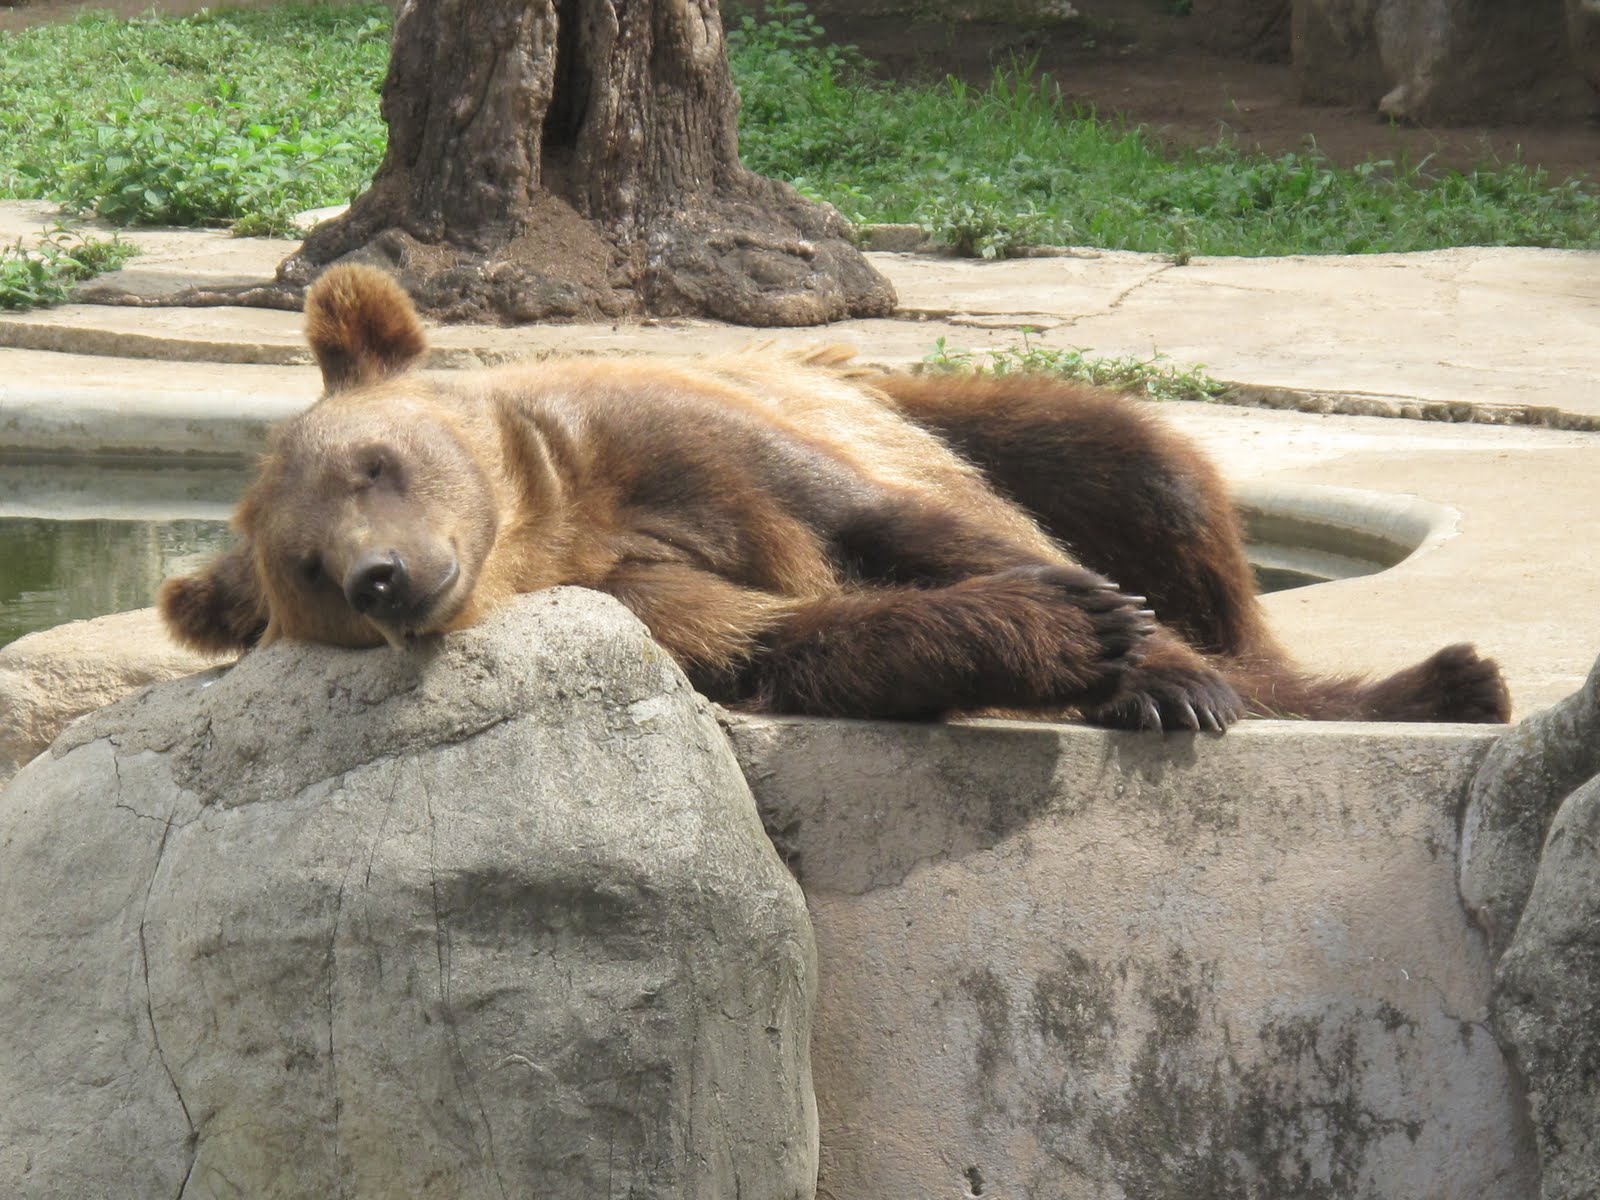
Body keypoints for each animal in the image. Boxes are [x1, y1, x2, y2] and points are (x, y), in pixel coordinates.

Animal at [158, 264, 1510, 732]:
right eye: (310, 571)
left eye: (372, 464)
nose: (384, 575)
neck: (560, 517)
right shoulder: (640, 591)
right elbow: (790, 638)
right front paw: (1065, 637)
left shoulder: (677, 443)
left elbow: (906, 528)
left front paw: (1156, 670)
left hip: (949, 411)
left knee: (1143, 470)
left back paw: (1422, 679)